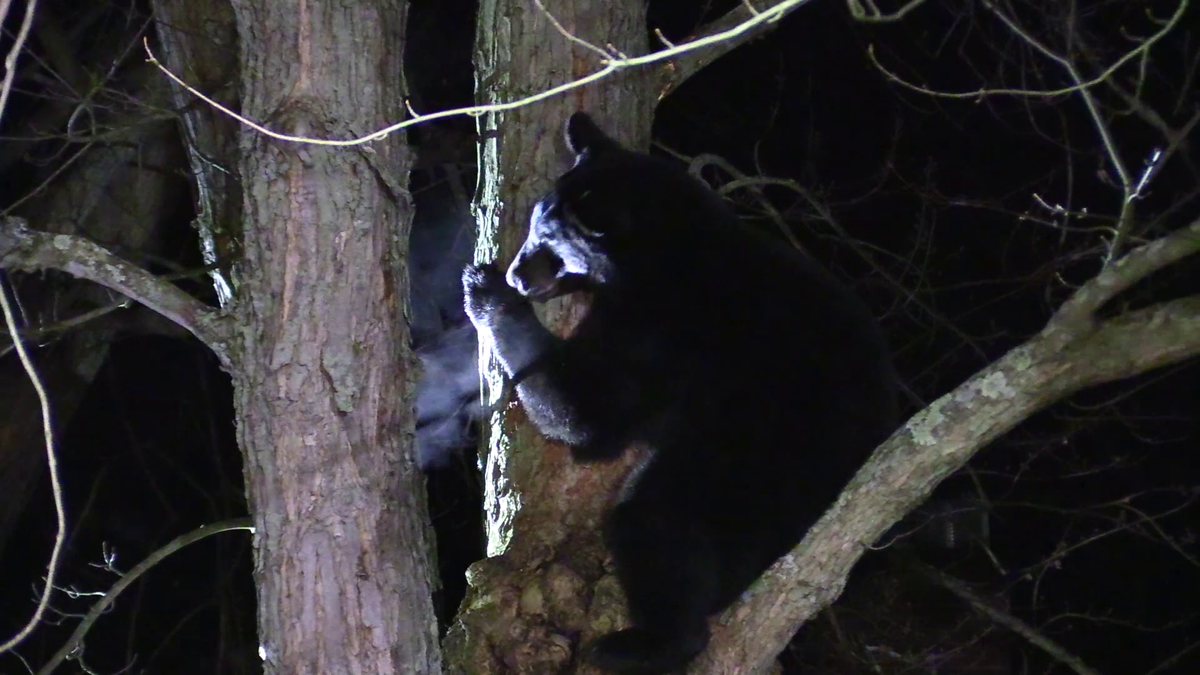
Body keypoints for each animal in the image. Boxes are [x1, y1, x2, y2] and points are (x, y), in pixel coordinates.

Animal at [462, 112, 898, 674]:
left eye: (552, 244)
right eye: (538, 225)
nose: (517, 274)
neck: (668, 258)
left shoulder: (665, 332)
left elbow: (590, 406)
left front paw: (484, 291)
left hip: (746, 463)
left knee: (655, 524)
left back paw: (647, 641)